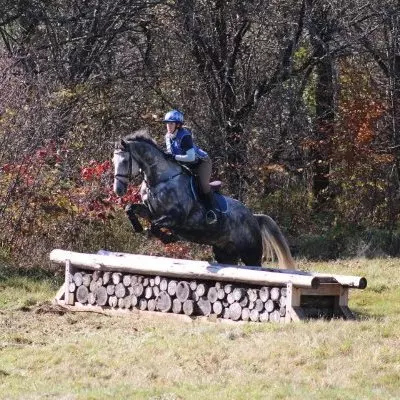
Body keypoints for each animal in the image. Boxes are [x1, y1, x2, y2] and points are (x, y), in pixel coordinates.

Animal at [111, 130, 296, 268]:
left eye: (125, 161)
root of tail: (254, 218)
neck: (160, 180)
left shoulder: (177, 216)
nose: (118, 190)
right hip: (226, 253)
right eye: (113, 161)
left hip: (251, 254)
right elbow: (131, 209)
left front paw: (168, 238)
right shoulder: (151, 212)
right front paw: (137, 227)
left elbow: (155, 226)